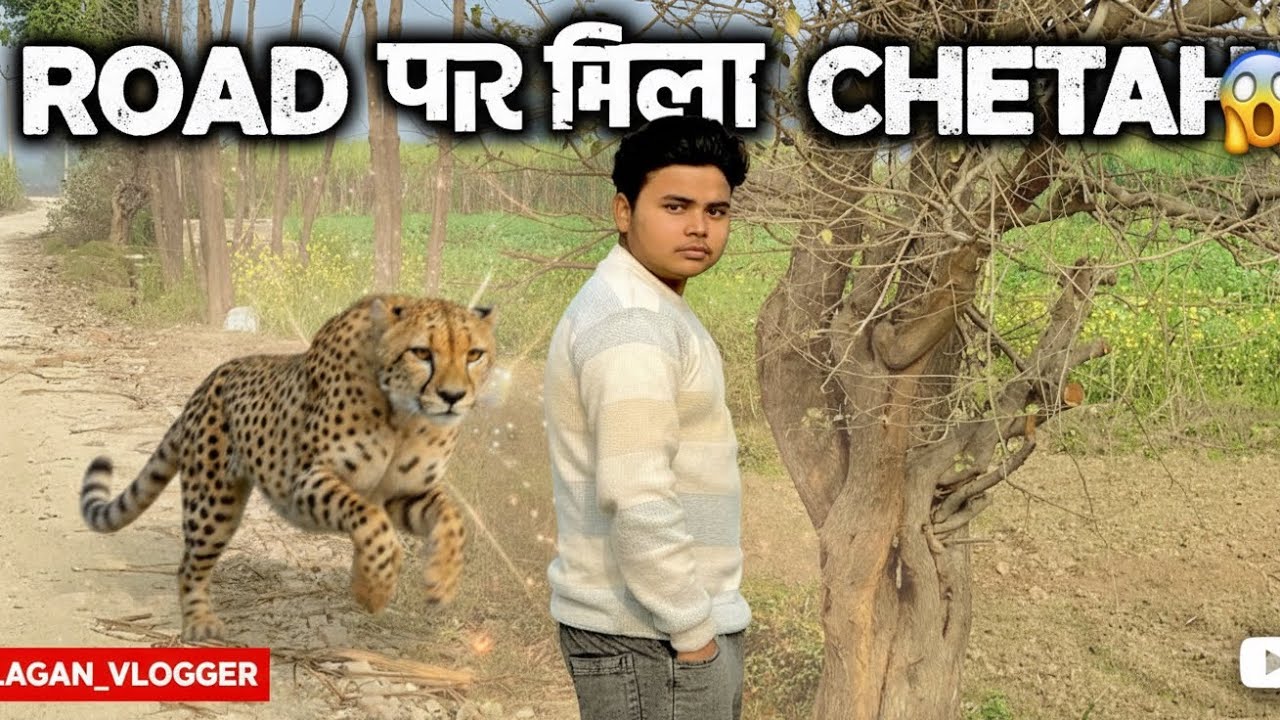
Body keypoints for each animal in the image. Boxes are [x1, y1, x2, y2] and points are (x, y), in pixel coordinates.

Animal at [79, 293, 497, 641]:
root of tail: (209, 379)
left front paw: (441, 580)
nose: (454, 396)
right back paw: (199, 623)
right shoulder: (308, 480)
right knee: (189, 566)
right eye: (422, 352)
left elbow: (452, 518)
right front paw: (373, 590)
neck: (403, 414)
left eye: (474, 354)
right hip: (213, 503)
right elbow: (372, 523)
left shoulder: (401, 492)